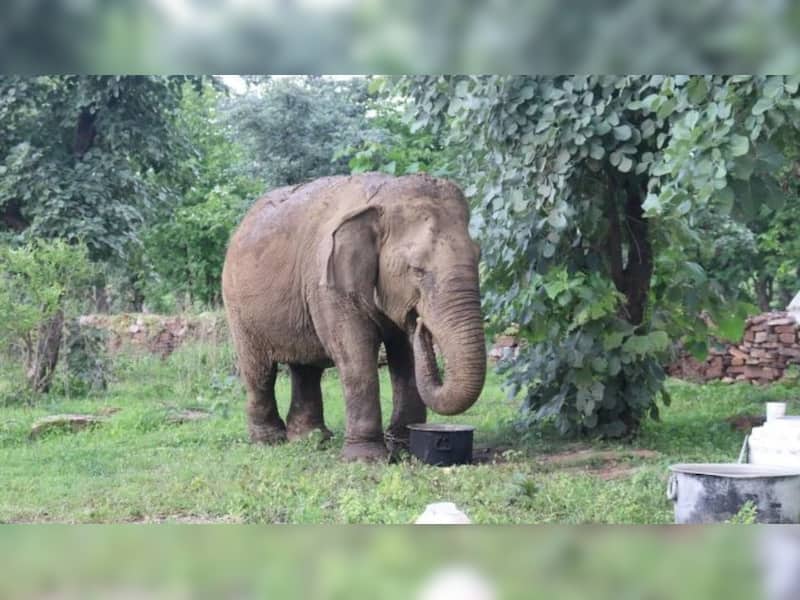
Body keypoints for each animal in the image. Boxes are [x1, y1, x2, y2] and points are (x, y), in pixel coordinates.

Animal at [221, 173, 486, 461]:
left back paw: (312, 438)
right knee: (259, 370)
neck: (384, 197)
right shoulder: (328, 283)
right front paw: (366, 459)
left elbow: (404, 356)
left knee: (306, 367)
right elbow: (355, 353)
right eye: (417, 269)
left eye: (478, 257)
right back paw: (270, 440)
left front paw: (404, 448)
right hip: (237, 306)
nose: (421, 324)